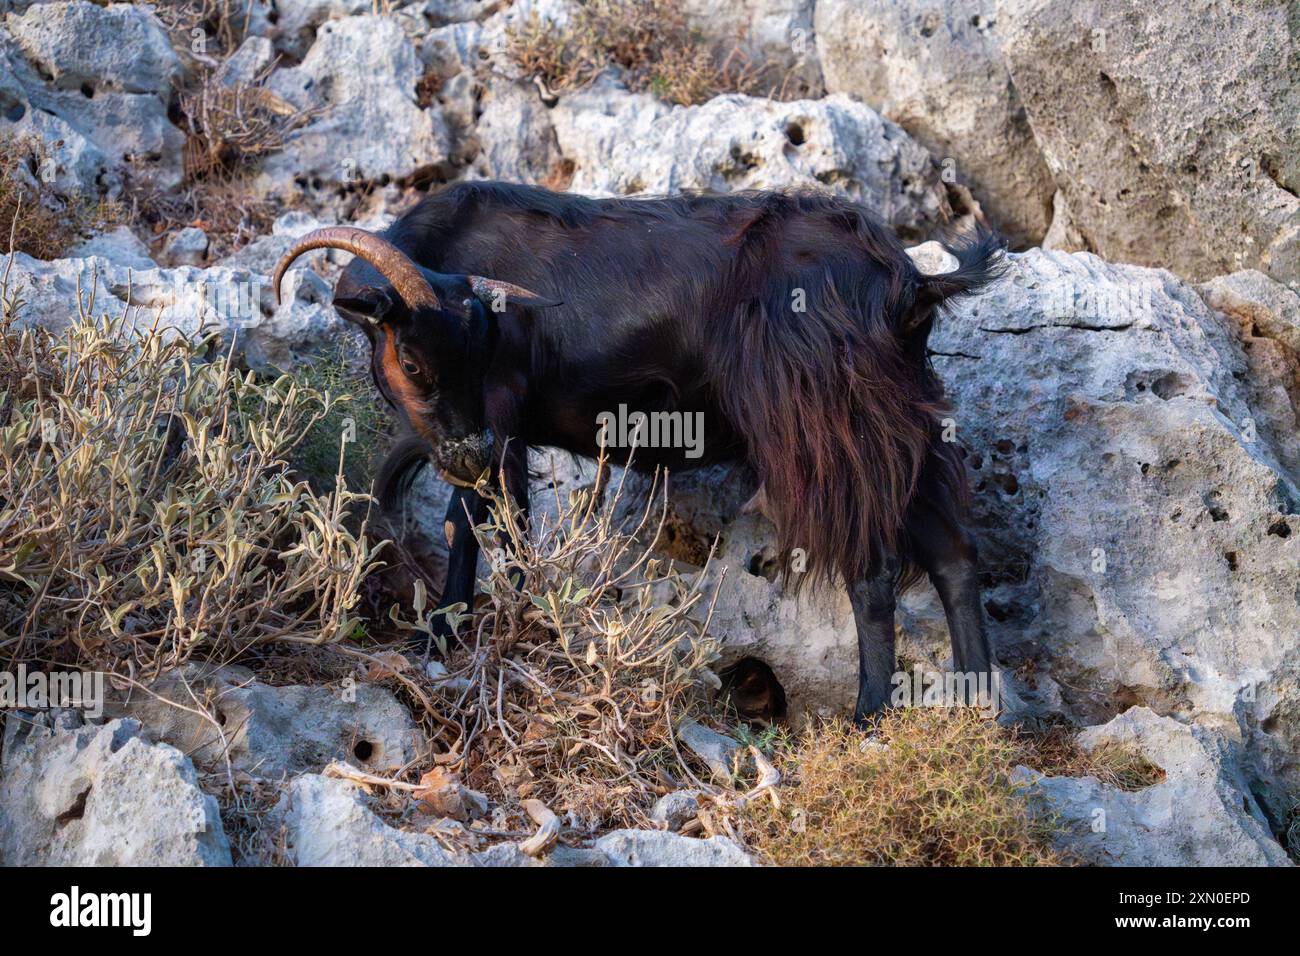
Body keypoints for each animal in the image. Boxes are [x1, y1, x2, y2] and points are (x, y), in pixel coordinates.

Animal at [273, 181, 1004, 723]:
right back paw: (982, 714)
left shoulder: (502, 417)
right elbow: (458, 516)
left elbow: (491, 525)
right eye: (415, 362)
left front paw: (490, 630)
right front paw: (448, 627)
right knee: (953, 553)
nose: (466, 453)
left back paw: (869, 716)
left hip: (829, 432)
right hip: (907, 427)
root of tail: (907, 281)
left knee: (871, 568)